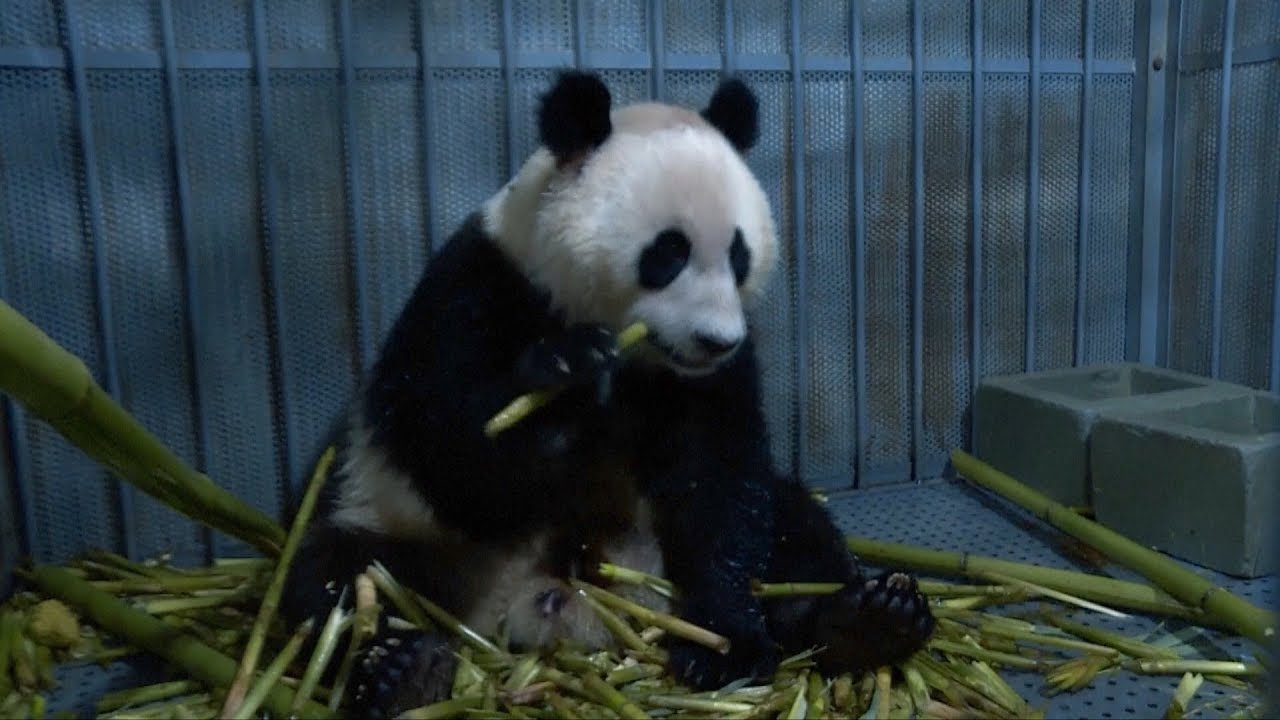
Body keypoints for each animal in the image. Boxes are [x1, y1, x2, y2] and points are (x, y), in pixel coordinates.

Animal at [280, 70, 935, 718]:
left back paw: (867, 621)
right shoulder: (472, 290)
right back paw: (401, 671)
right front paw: (563, 374)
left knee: (794, 526)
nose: (715, 339)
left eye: (739, 255)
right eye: (668, 252)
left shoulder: (708, 381)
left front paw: (723, 644)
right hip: (402, 529)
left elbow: (720, 485)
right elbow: (454, 455)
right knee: (339, 585)